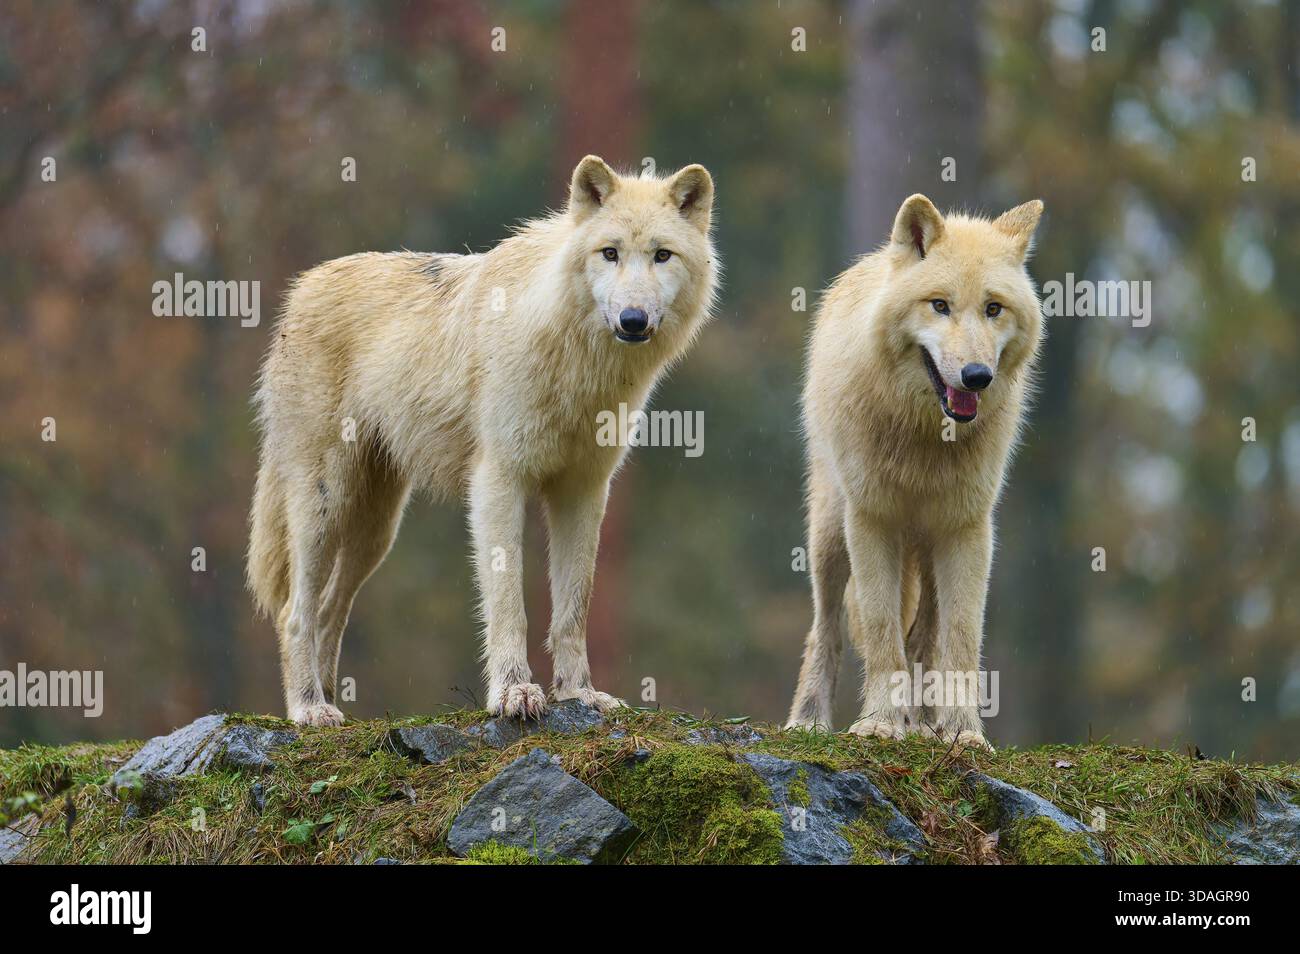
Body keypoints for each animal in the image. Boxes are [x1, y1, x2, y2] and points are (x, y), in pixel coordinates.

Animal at [247, 156, 718, 725]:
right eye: (610, 253)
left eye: (661, 255)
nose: (632, 319)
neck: (575, 361)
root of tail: (299, 292)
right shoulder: (499, 481)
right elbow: (509, 601)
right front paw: (514, 693)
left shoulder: (584, 489)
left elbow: (573, 609)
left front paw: (578, 693)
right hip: (324, 504)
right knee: (295, 611)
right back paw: (309, 709)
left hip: (376, 530)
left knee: (328, 610)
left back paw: (332, 701)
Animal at [786, 194, 1044, 748]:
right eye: (939, 305)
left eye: (993, 308)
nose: (976, 376)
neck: (925, 437)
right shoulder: (871, 522)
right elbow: (882, 633)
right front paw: (881, 722)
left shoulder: (969, 530)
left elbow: (961, 642)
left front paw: (963, 732)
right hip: (830, 537)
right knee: (826, 629)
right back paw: (810, 720)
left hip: (927, 548)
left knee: (926, 635)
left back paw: (925, 724)